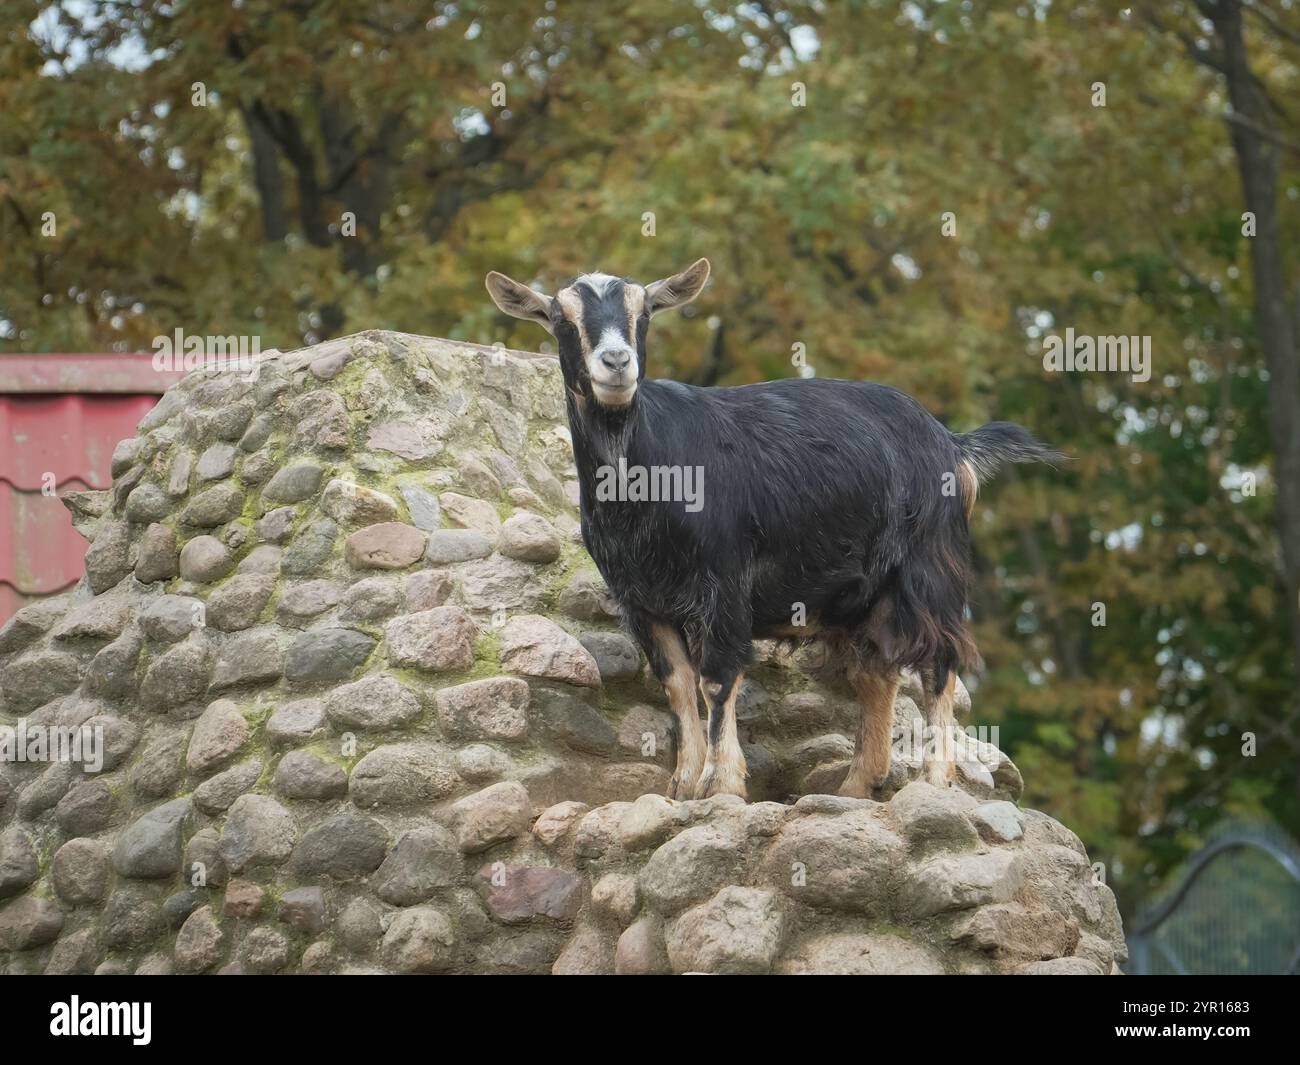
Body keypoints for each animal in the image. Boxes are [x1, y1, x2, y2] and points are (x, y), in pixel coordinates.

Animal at [486, 259, 1059, 800]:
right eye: (561, 318)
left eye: (644, 312)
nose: (616, 363)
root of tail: (954, 444)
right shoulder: (641, 600)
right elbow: (677, 684)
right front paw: (682, 785)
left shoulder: (724, 583)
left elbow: (717, 679)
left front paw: (722, 784)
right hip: (864, 595)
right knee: (876, 673)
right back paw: (856, 787)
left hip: (930, 569)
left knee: (939, 661)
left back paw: (935, 781)